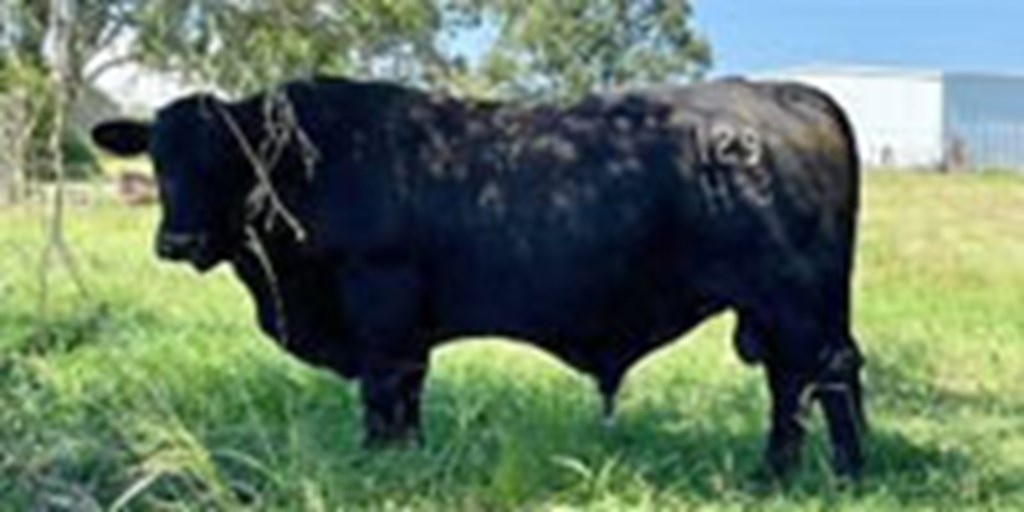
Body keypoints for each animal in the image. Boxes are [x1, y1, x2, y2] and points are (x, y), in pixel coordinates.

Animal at [91, 76, 866, 477]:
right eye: (158, 158)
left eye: (228, 156)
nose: (177, 240)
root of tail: (795, 95)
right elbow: (406, 397)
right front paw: (404, 458)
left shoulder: (382, 308)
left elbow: (385, 392)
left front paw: (380, 462)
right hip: (784, 310)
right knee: (800, 380)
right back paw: (790, 470)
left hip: (795, 303)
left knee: (821, 374)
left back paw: (826, 470)